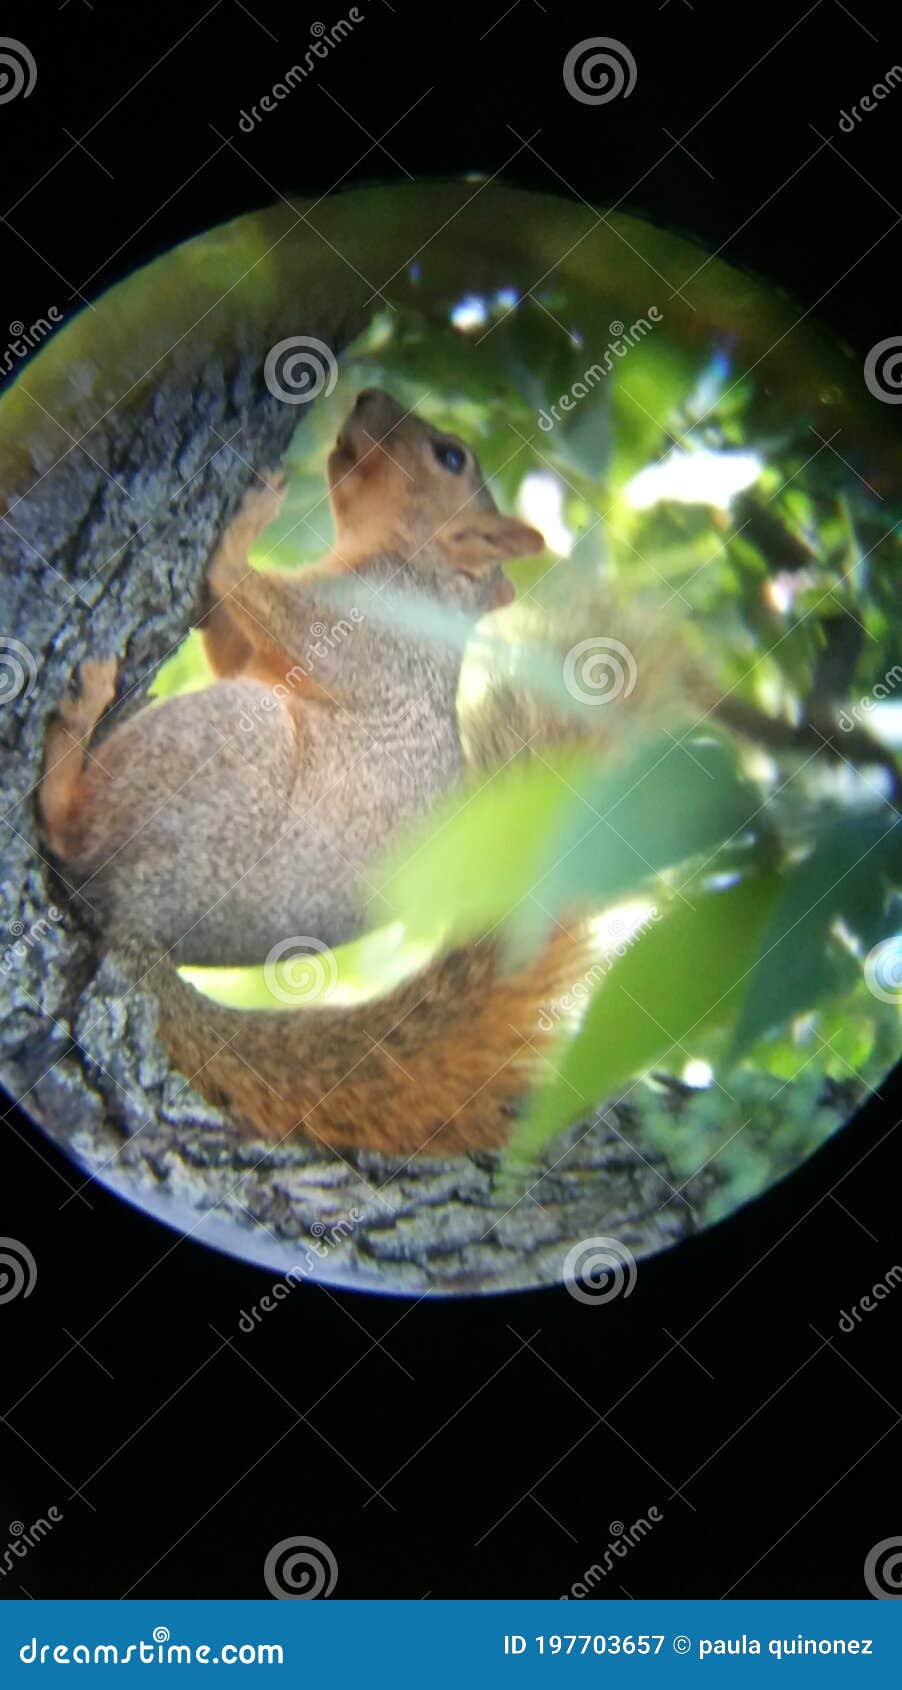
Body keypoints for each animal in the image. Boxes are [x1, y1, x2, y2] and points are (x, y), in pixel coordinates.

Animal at [40, 388, 592, 1157]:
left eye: (449, 456)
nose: (366, 394)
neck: (424, 572)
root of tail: (143, 928)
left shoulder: (364, 626)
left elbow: (260, 597)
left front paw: (247, 522)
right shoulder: (281, 648)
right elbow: (237, 644)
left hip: (232, 747)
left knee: (69, 834)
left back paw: (76, 731)